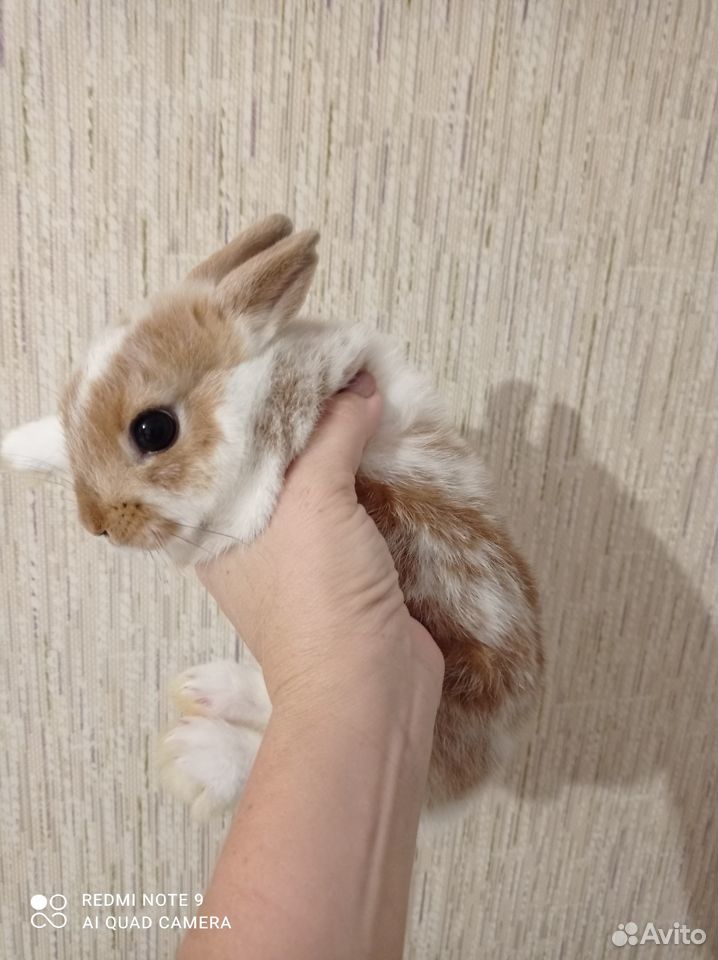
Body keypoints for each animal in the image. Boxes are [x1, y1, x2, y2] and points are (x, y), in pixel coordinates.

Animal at [2, 214, 543, 819]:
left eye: (154, 429)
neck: (260, 396)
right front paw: (17, 447)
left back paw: (194, 757)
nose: (96, 524)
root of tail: (504, 745)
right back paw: (205, 688)